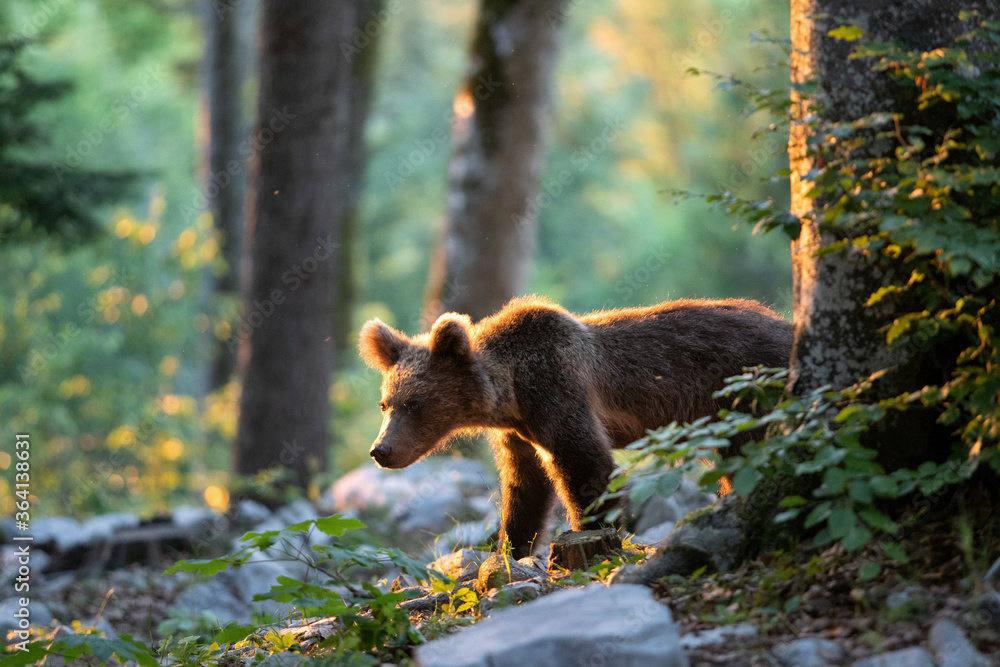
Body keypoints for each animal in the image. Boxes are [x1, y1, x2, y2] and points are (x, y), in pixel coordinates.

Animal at [358, 296, 794, 558]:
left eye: (415, 403)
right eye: (385, 403)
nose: (381, 450)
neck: (510, 393)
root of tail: (789, 326)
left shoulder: (557, 391)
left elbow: (586, 466)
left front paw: (594, 532)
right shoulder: (518, 434)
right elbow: (525, 488)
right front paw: (511, 549)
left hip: (747, 390)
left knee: (749, 452)